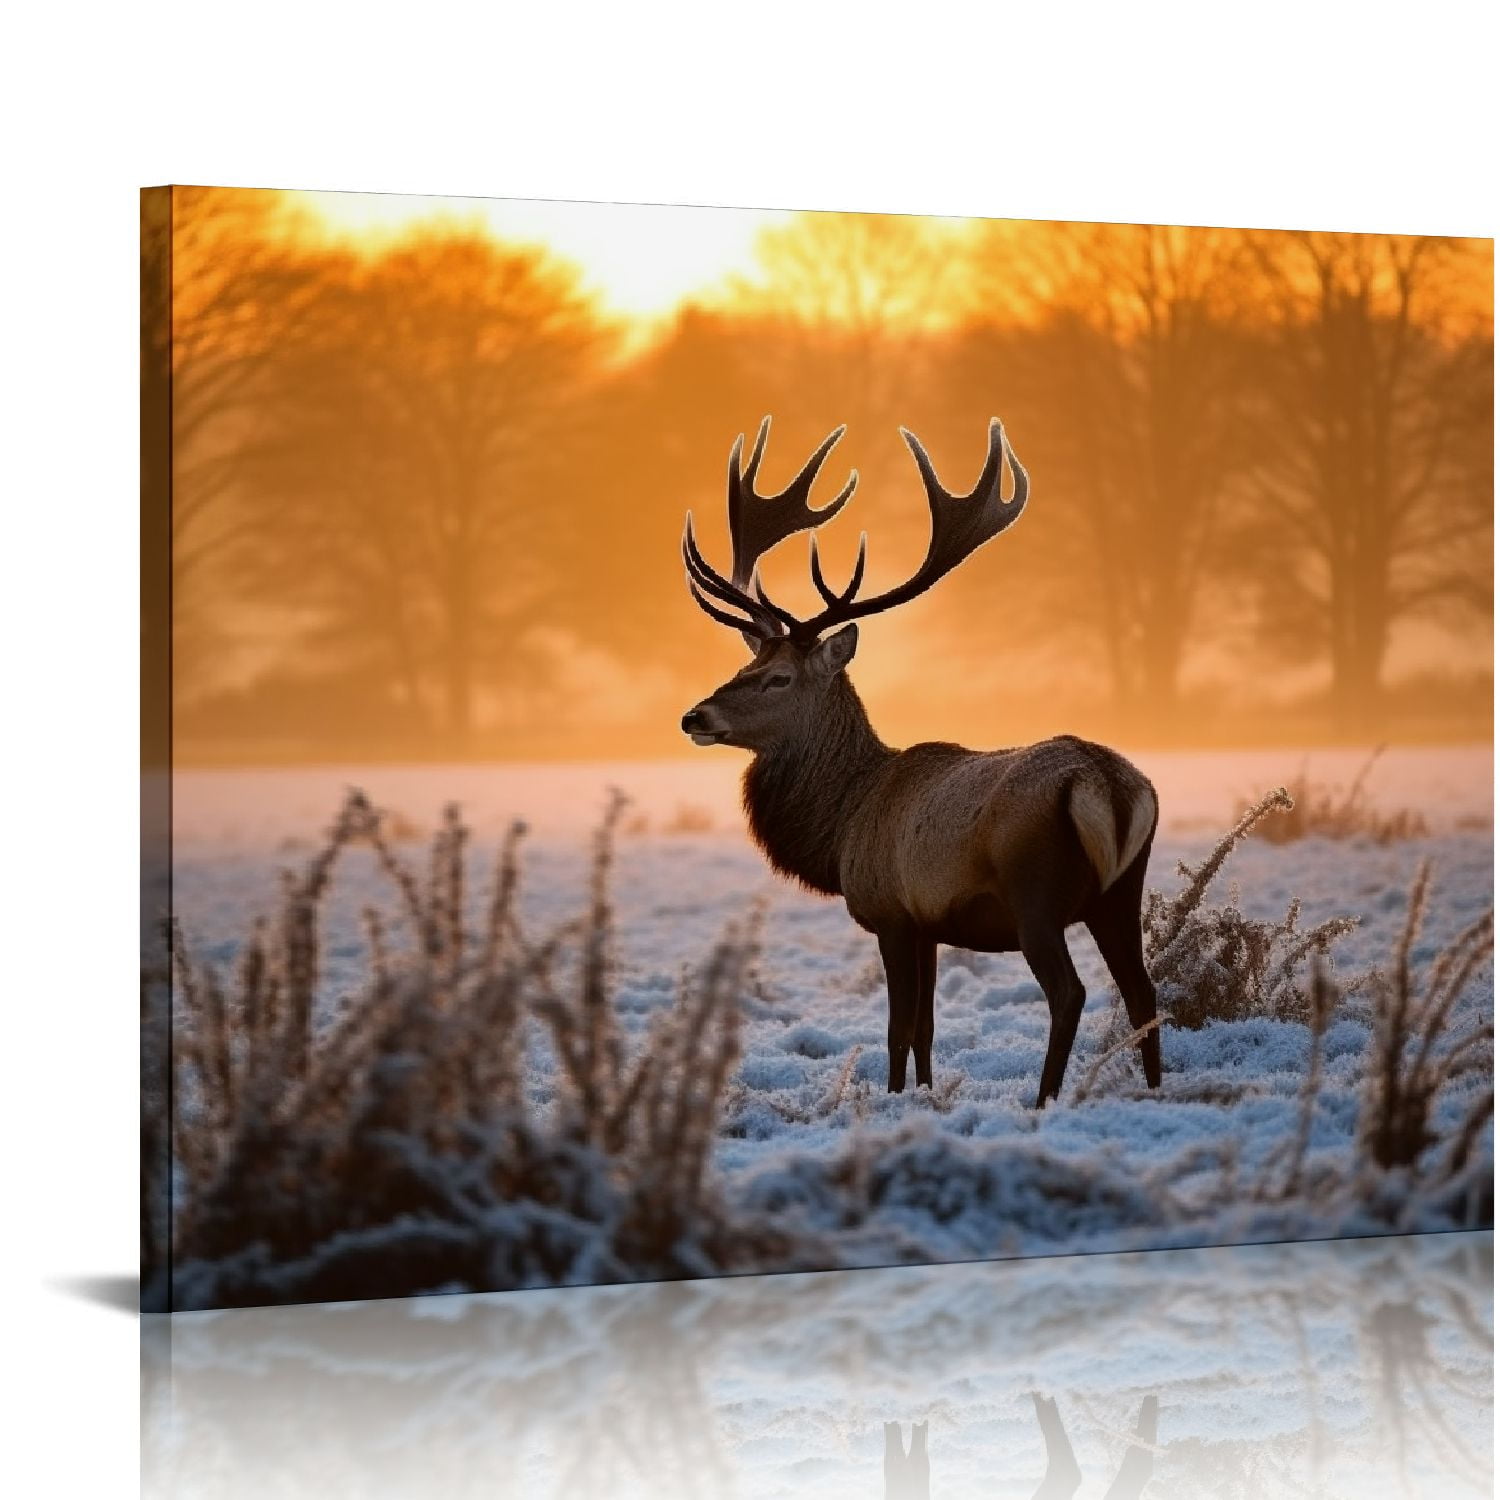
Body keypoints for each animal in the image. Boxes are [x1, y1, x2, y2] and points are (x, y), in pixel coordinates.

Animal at [678, 416, 1162, 1107]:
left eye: (777, 679)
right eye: (743, 666)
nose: (695, 716)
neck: (843, 825)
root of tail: (1110, 787)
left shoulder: (890, 912)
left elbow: (898, 1029)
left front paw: (892, 1098)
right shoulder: (929, 923)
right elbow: (928, 1029)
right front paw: (925, 1095)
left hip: (1035, 894)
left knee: (1070, 993)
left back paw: (1043, 1099)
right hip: (1122, 890)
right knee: (1144, 990)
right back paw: (1153, 1088)